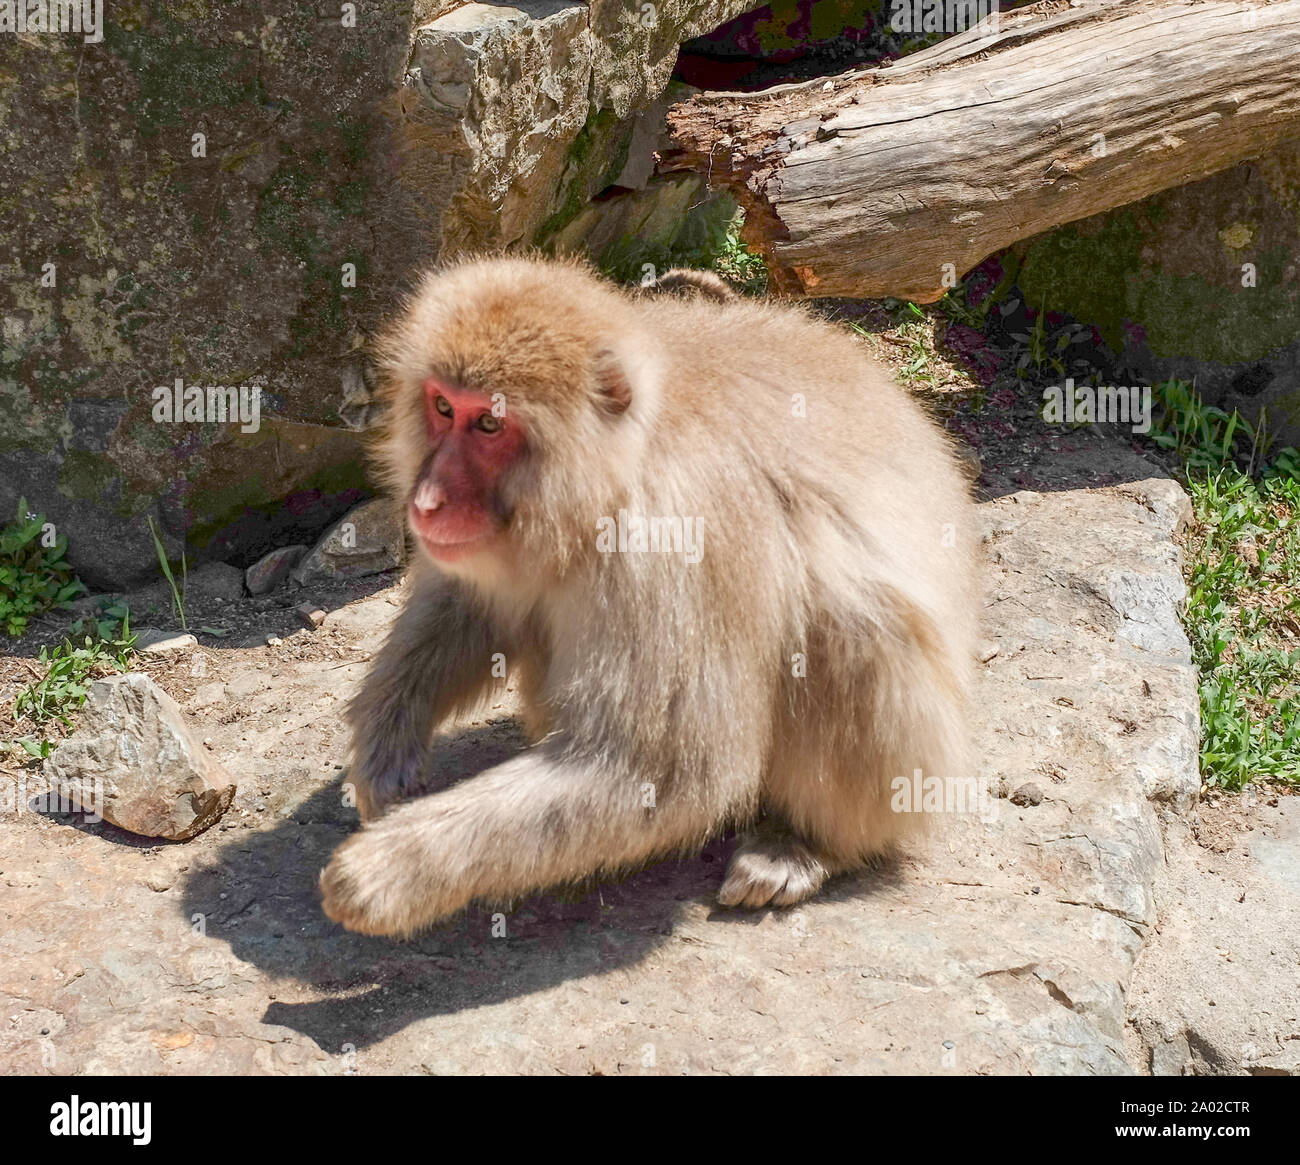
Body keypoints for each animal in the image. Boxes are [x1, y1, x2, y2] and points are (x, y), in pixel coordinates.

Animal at [319, 255, 979, 937]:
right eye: (442, 407)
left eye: (490, 423)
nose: (426, 501)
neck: (608, 478)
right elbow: (466, 601)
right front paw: (385, 754)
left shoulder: (667, 543)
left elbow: (660, 774)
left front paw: (383, 873)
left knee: (856, 628)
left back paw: (812, 845)